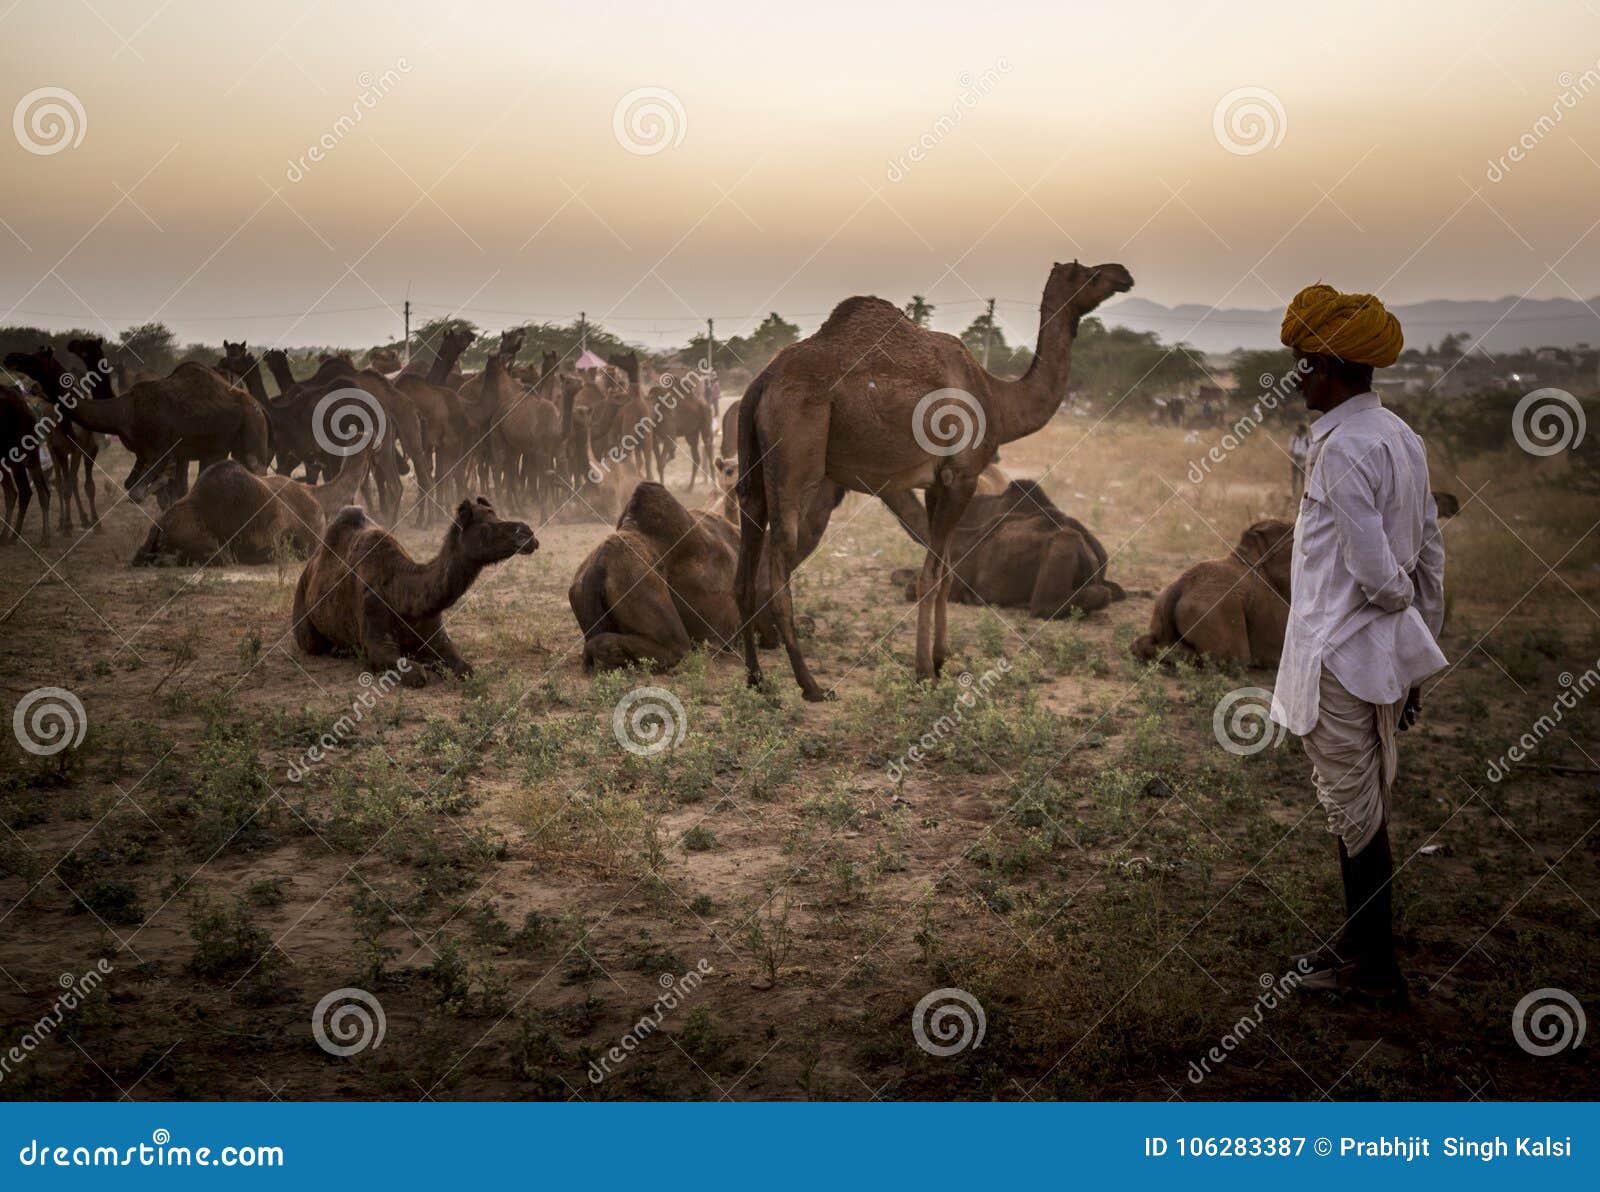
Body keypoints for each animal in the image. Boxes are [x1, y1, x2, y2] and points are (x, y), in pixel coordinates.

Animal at [5, 347, 269, 507]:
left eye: (34, 358)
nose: (11, 357)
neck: (124, 412)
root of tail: (258, 406)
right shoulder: (142, 454)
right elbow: (133, 486)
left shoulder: (159, 451)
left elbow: (140, 492)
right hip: (218, 448)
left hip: (251, 434)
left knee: (257, 469)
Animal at [292, 496, 537, 685]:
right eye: (486, 527)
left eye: (497, 516)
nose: (529, 534)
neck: (402, 594)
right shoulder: (374, 623)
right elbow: (415, 674)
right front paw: (424, 666)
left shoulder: (436, 633)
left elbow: (465, 668)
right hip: (305, 622)